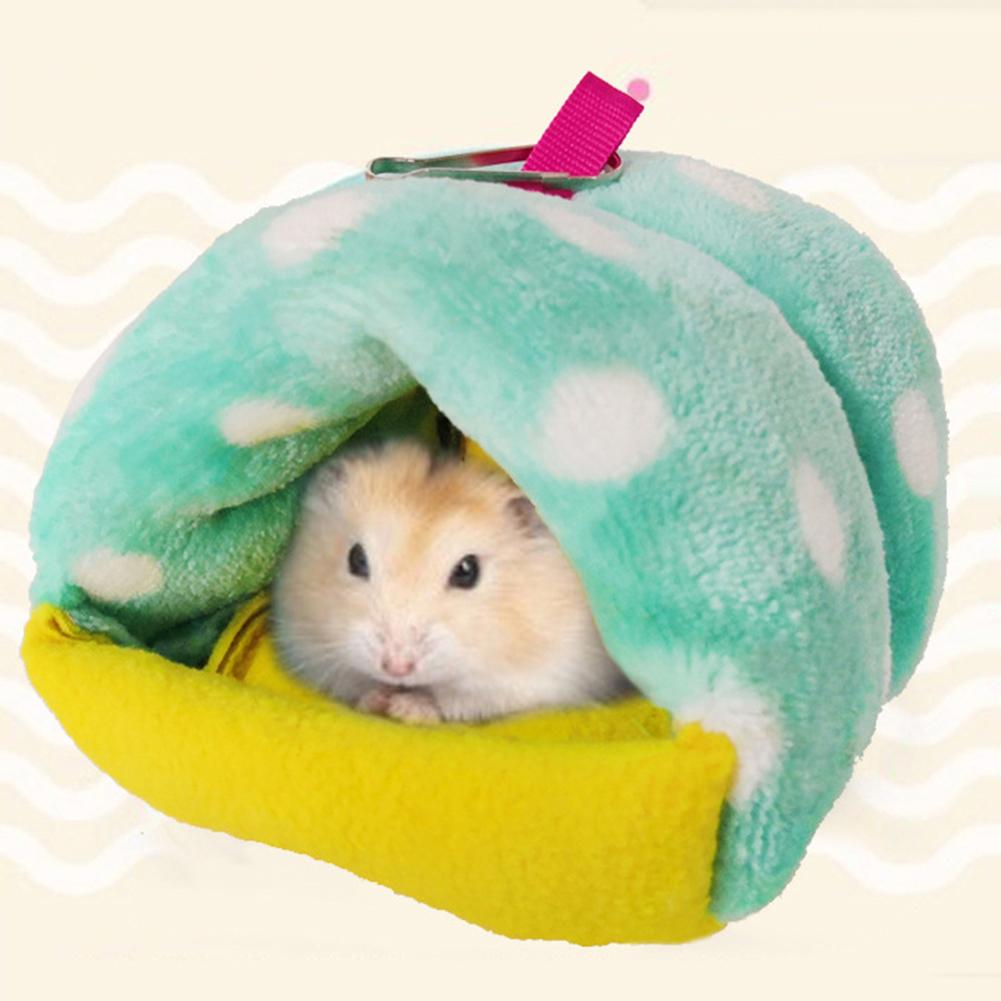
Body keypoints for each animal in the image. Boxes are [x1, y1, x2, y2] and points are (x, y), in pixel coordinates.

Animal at [270, 438, 631, 724]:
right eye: (356, 559)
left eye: (467, 571)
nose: (396, 667)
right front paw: (378, 699)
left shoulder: (536, 679)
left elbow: (455, 701)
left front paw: (405, 708)